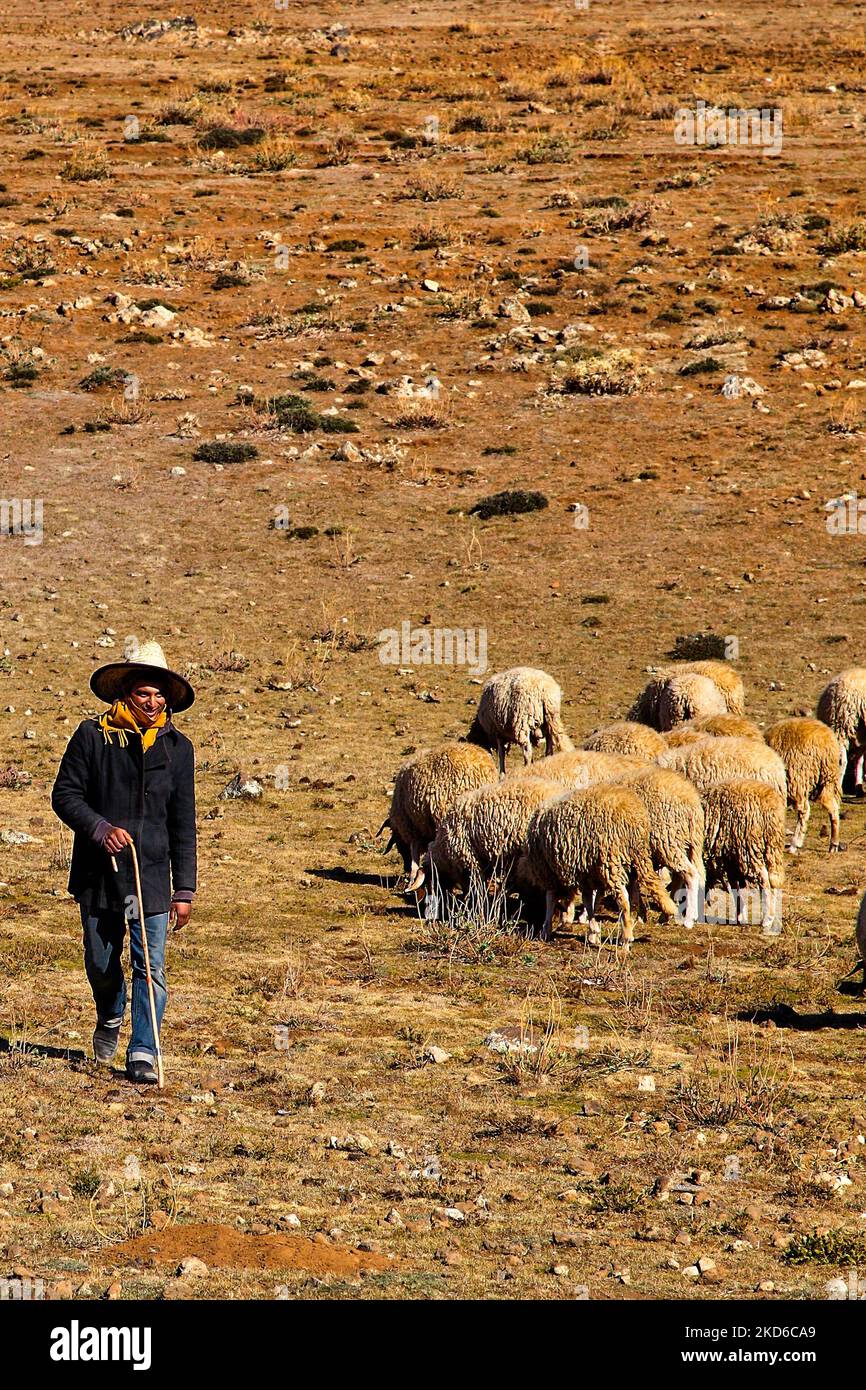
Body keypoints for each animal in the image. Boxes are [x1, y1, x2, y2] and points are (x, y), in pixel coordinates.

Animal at [518, 783, 677, 947]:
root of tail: (634, 821)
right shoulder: (587, 875)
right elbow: (590, 902)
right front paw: (593, 932)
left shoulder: (549, 872)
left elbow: (550, 899)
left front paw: (546, 930)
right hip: (634, 862)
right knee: (635, 894)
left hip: (611, 861)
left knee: (623, 899)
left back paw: (626, 939)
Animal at [701, 780, 785, 931]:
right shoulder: (730, 862)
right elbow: (737, 888)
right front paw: (741, 916)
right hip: (772, 848)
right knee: (773, 881)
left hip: (749, 848)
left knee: (765, 881)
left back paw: (767, 919)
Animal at [765, 717, 845, 853]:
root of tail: (827, 741)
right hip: (826, 779)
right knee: (833, 808)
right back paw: (834, 843)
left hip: (798, 778)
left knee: (804, 810)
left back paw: (794, 844)